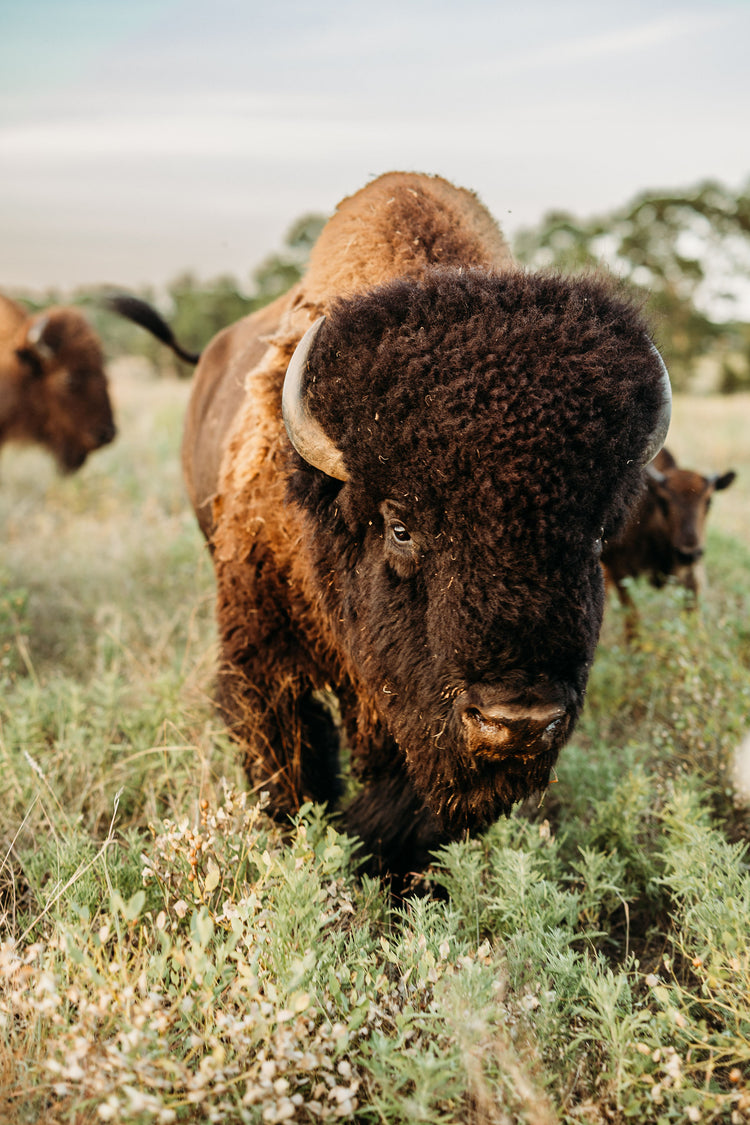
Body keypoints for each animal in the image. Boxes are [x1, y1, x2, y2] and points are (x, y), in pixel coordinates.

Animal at [601, 446, 736, 633]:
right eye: (663, 501)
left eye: (709, 501)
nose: (688, 553)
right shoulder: (619, 569)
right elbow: (632, 616)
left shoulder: (693, 573)